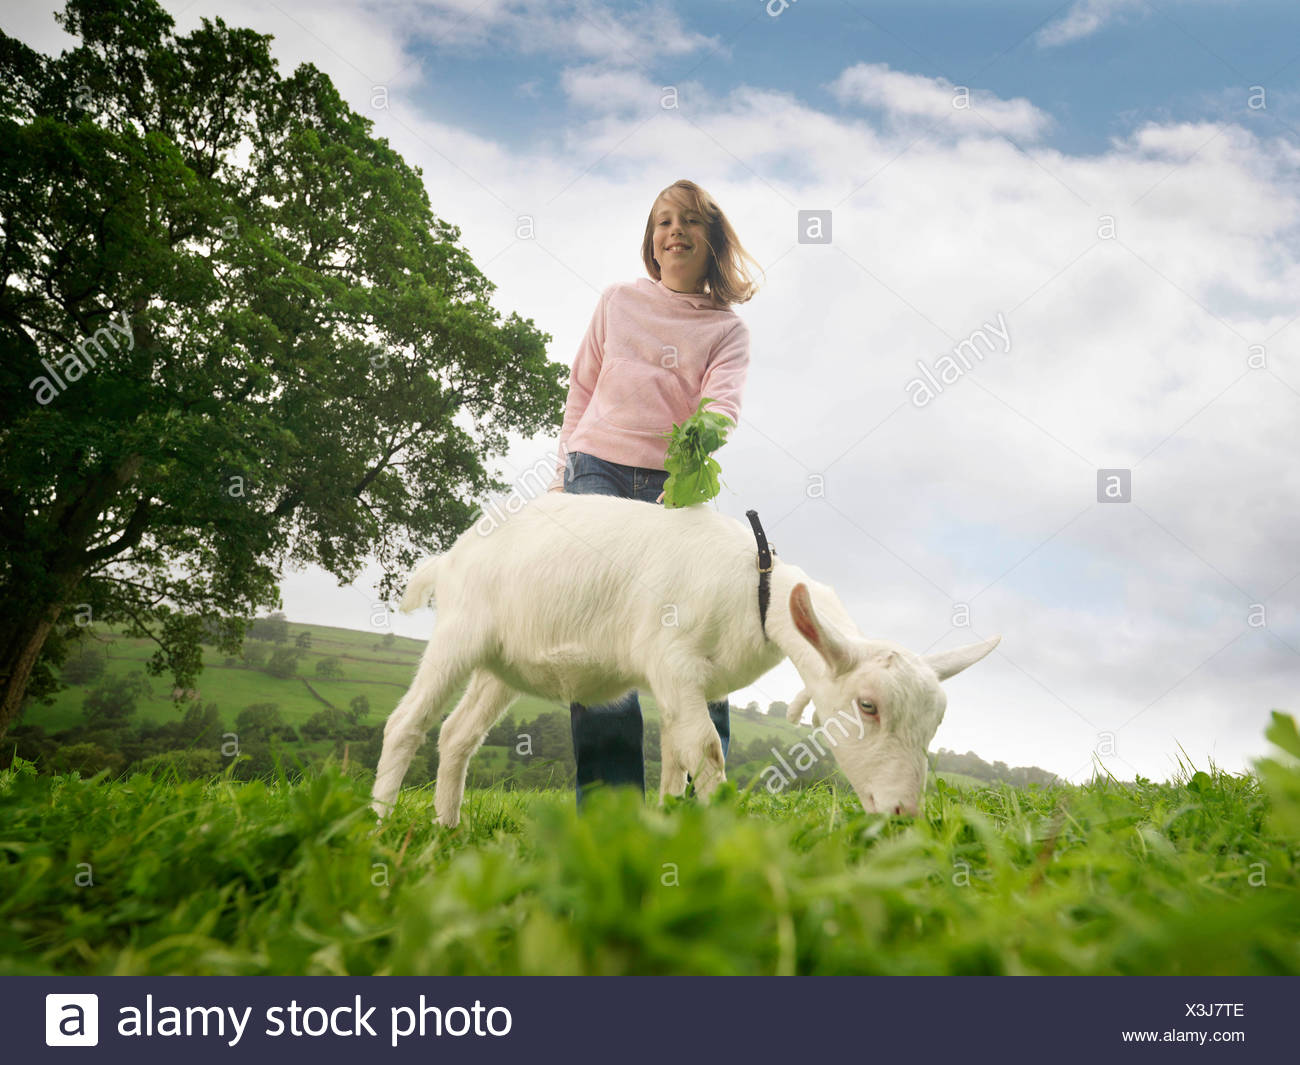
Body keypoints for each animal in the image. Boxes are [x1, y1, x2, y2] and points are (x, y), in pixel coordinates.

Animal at [371, 491, 1000, 825]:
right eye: (868, 706)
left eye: (937, 722)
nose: (904, 814)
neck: (756, 586)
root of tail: (448, 559)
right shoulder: (672, 659)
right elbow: (707, 751)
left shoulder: (691, 682)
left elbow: (677, 757)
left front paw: (673, 824)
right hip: (459, 633)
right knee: (406, 724)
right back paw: (379, 824)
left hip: (499, 665)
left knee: (457, 735)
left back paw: (448, 828)